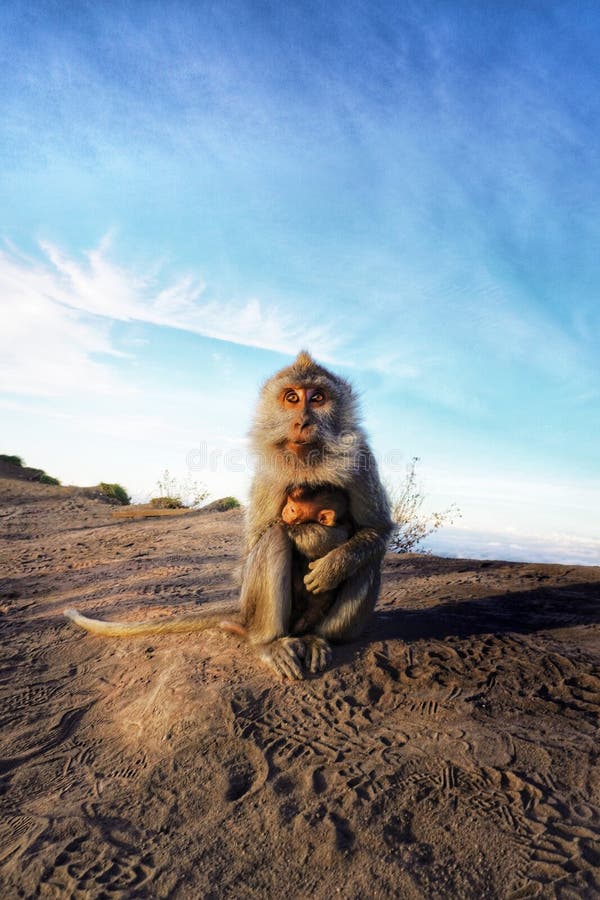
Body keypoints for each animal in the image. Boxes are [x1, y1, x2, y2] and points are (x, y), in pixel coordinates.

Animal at [65, 351, 393, 681]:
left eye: (317, 398)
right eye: (292, 398)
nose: (303, 421)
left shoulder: (362, 456)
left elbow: (375, 529)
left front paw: (332, 564)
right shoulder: (267, 474)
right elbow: (257, 542)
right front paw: (324, 536)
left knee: (365, 559)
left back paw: (318, 636)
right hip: (254, 609)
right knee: (275, 540)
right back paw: (268, 643)